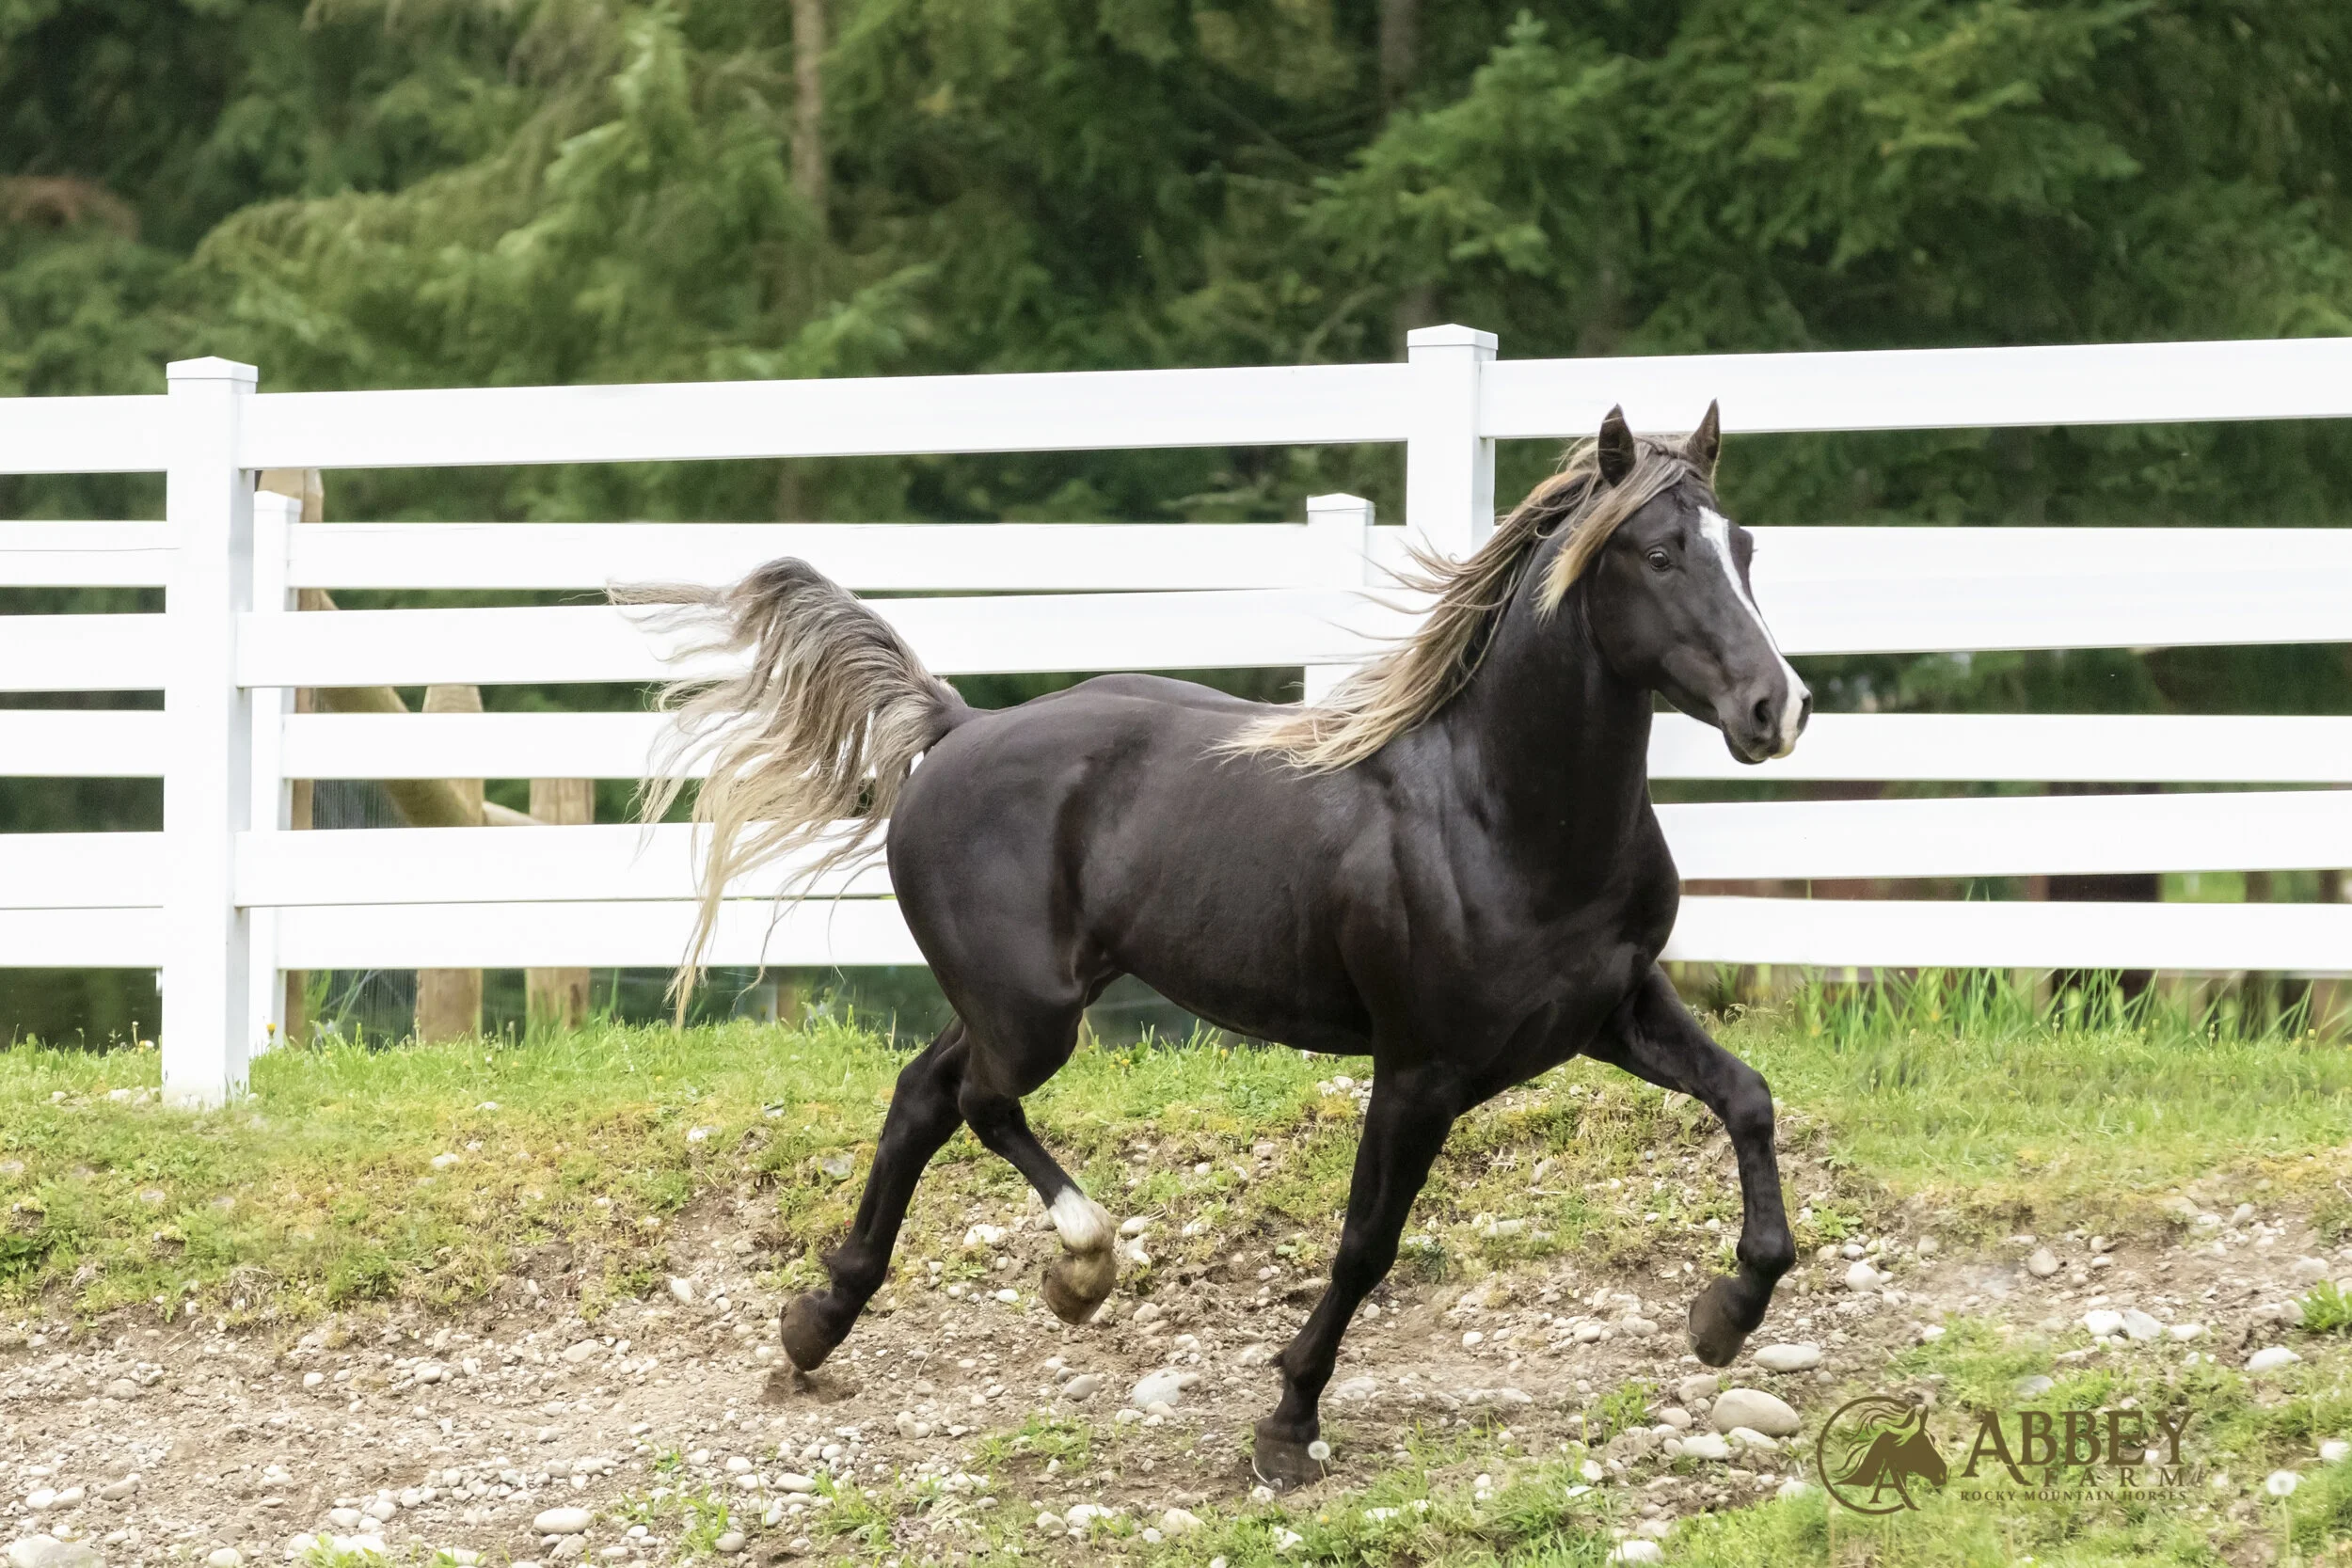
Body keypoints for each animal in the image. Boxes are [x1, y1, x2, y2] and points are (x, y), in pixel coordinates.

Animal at [628, 403, 1810, 1490]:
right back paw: (1079, 1264)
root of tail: (958, 727)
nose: (1777, 706)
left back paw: (819, 1321)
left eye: (1747, 546)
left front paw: (1723, 1313)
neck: (1495, 814)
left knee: (925, 1092)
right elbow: (1366, 1242)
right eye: (1659, 553)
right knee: (974, 1099)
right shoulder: (1419, 1068)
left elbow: (1748, 1097)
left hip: (1034, 997)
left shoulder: (1612, 1011)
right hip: (1033, 1013)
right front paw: (1286, 1423)